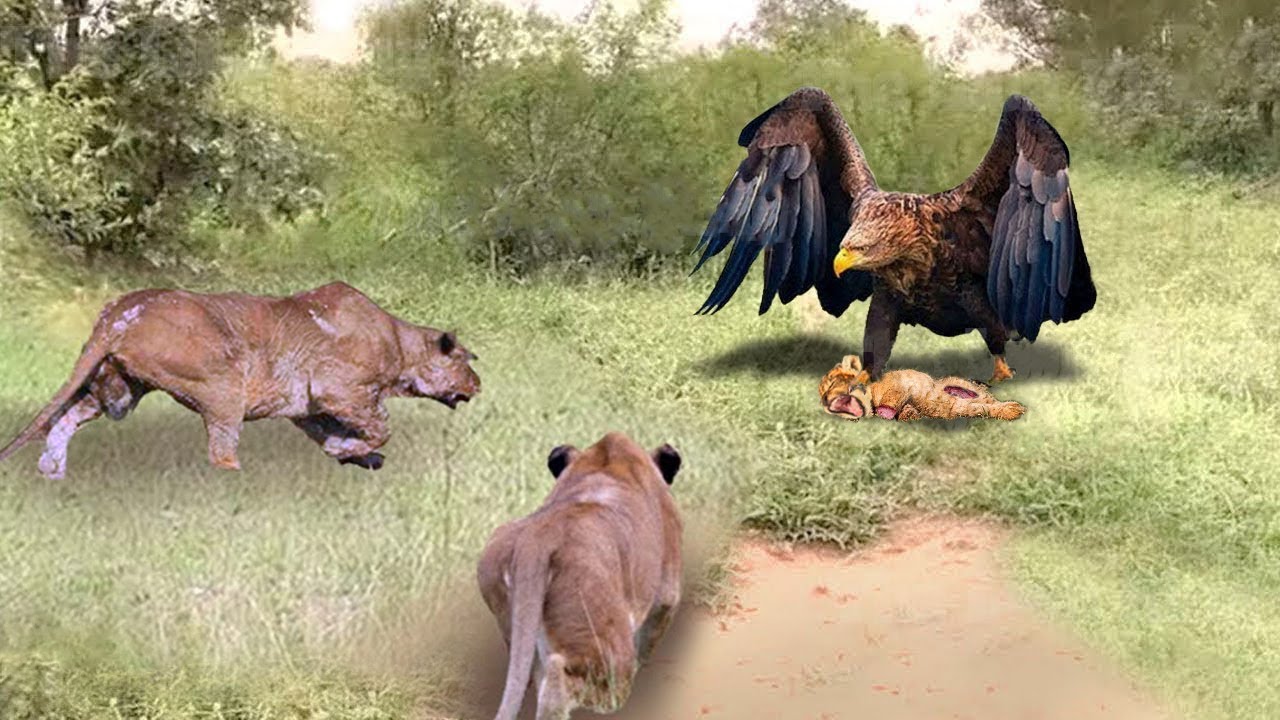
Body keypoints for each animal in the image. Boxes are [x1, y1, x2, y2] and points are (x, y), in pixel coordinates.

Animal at [0, 282, 480, 478]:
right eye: (466, 362)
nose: (479, 383)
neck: (401, 344)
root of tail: (118, 311)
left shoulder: (308, 407)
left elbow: (332, 434)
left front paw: (352, 455)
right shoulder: (340, 390)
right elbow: (380, 426)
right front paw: (356, 451)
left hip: (117, 391)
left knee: (65, 419)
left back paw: (52, 471)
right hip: (224, 381)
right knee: (221, 451)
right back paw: (243, 481)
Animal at [476, 432, 684, 720]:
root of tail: (539, 537)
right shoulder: (666, 596)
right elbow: (648, 642)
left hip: (515, 624)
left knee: (536, 675)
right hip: (607, 640)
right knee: (576, 683)